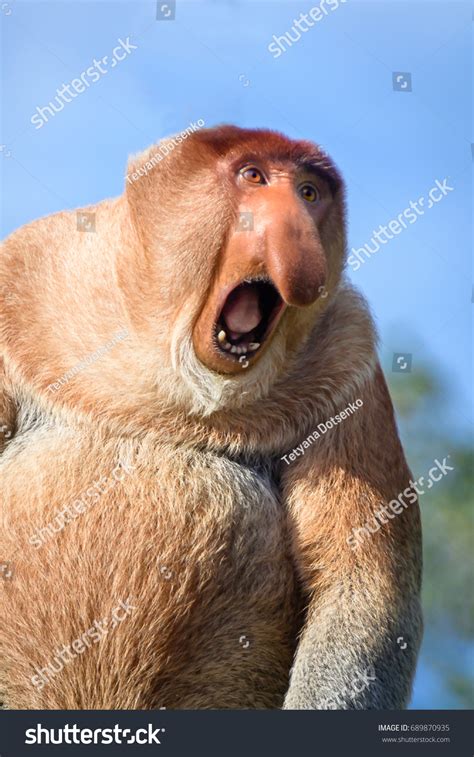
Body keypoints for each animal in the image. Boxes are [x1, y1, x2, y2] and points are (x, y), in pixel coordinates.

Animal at [0, 125, 422, 709]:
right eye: (254, 176)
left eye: (309, 193)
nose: (298, 234)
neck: (174, 371)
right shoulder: (24, 269)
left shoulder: (349, 355)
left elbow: (362, 585)